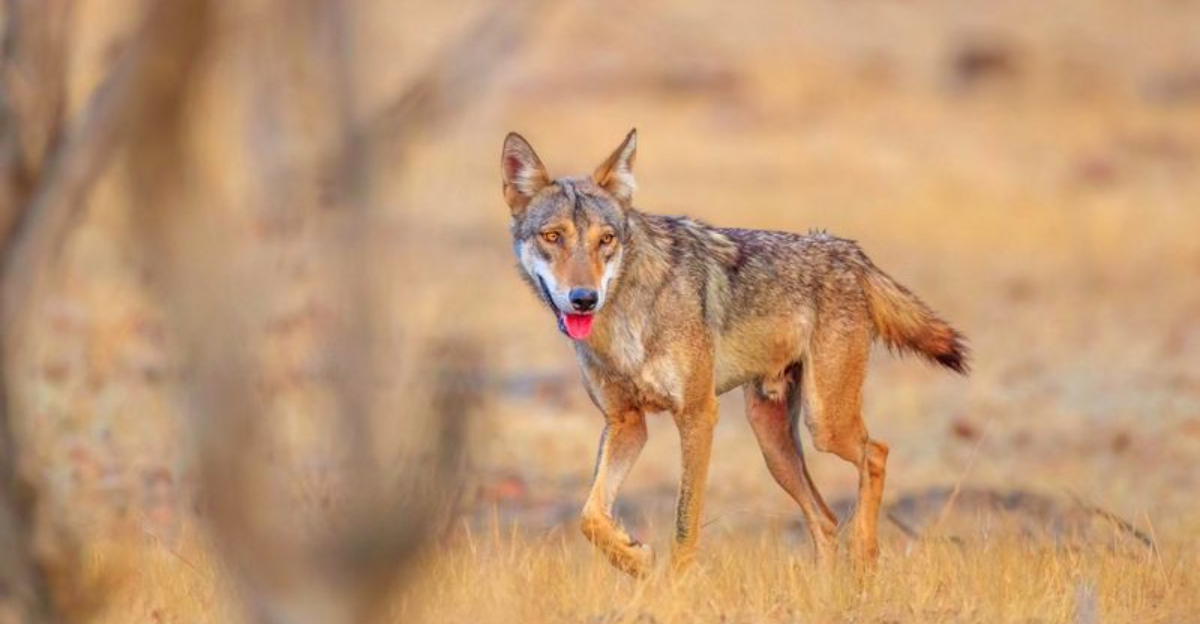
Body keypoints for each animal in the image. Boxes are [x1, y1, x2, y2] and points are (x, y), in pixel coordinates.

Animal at [501, 129, 968, 576]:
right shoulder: (626, 423)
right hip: (774, 444)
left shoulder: (698, 415)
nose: (584, 299)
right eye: (553, 237)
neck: (623, 320)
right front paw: (637, 559)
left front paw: (674, 589)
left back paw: (865, 556)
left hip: (824, 425)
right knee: (825, 518)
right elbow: (590, 516)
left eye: (606, 240)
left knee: (876, 454)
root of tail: (845, 249)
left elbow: (685, 525)